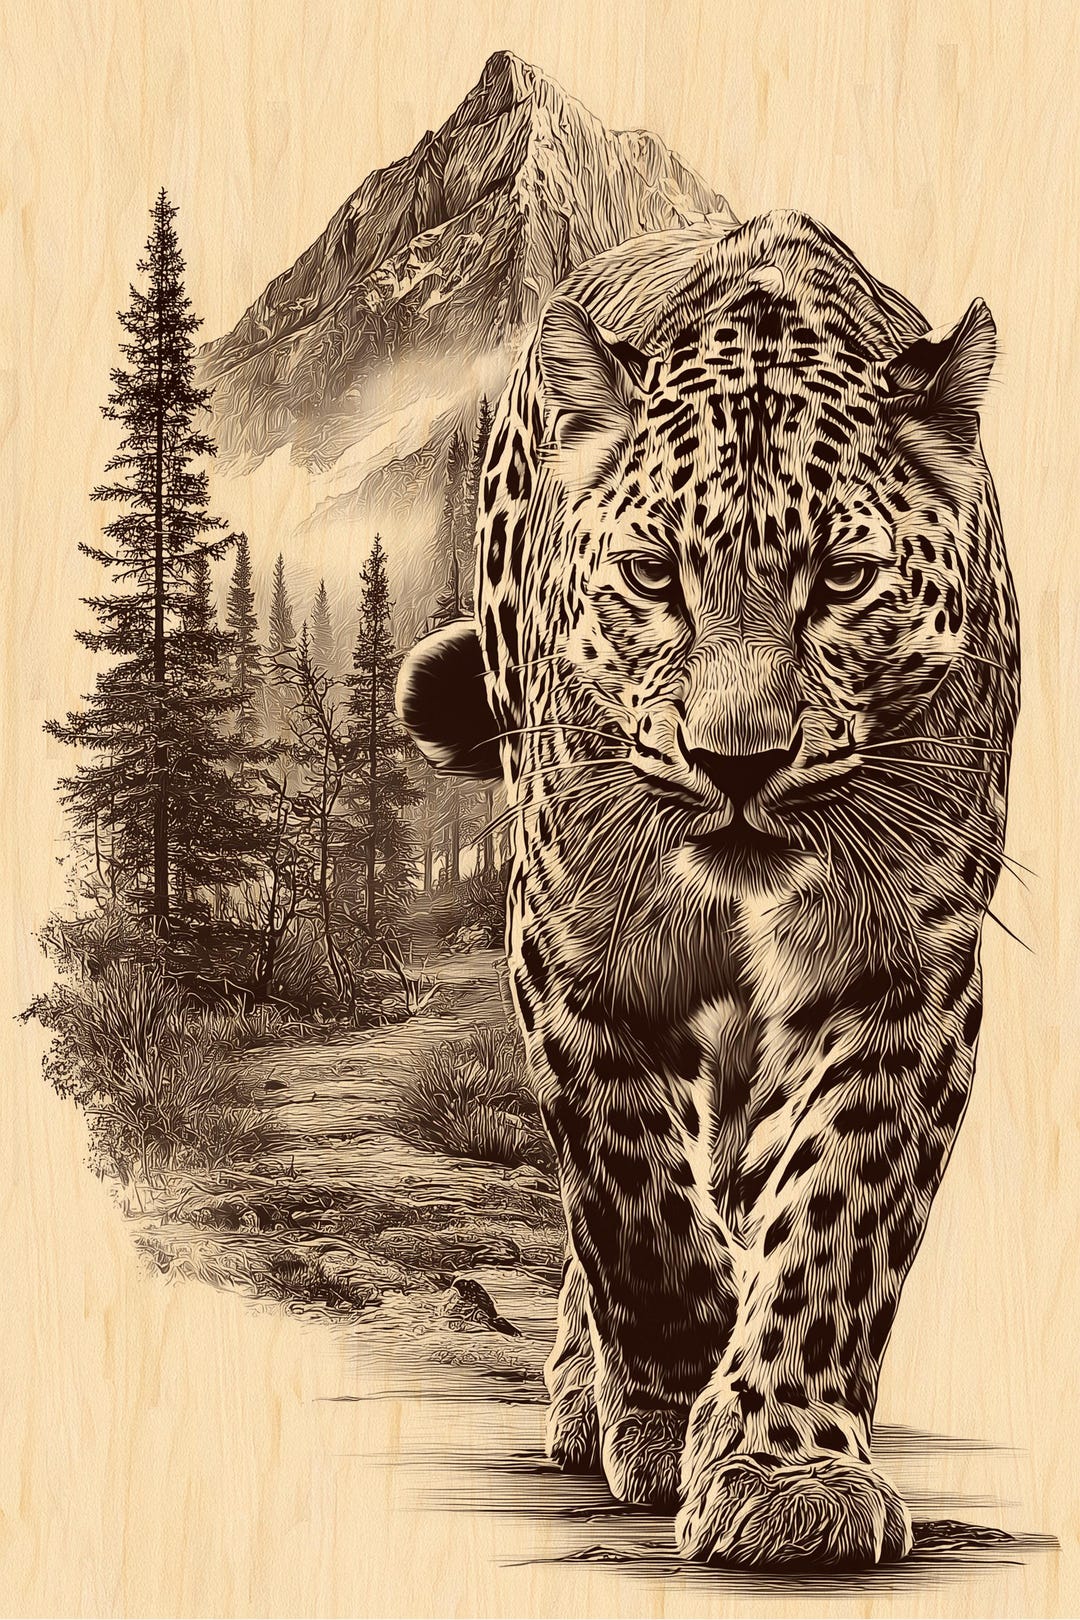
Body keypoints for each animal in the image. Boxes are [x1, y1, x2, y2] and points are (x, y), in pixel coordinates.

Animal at [397, 210, 1020, 1570]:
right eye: (650, 575)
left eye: (840, 580)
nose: (738, 762)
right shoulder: (575, 949)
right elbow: (631, 1201)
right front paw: (670, 1408)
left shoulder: (905, 965)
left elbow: (839, 1216)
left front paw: (786, 1469)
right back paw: (590, 1393)